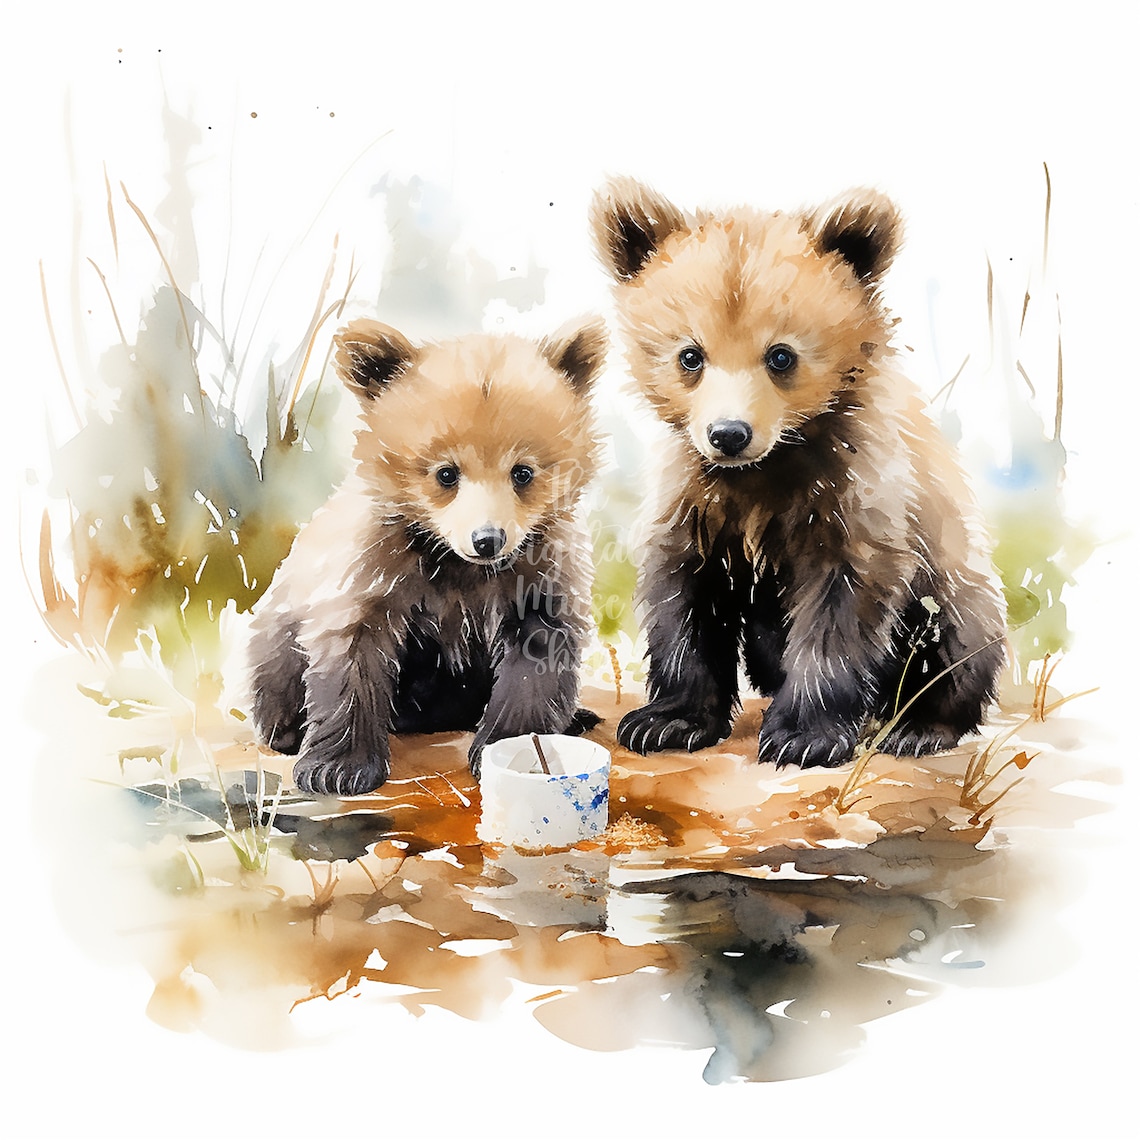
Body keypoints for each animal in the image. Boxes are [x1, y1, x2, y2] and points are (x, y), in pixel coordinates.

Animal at [248, 316, 606, 796]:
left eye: (523, 472)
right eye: (446, 473)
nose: (487, 539)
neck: (457, 563)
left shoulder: (540, 569)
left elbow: (538, 654)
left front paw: (505, 747)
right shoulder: (374, 565)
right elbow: (350, 653)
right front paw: (337, 768)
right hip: (277, 625)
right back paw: (286, 730)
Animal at [590, 176, 1006, 768]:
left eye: (781, 355)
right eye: (690, 355)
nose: (729, 434)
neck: (766, 469)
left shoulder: (857, 493)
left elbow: (840, 608)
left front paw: (805, 735)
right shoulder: (695, 497)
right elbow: (685, 597)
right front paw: (666, 720)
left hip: (955, 572)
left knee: (957, 637)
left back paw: (918, 726)